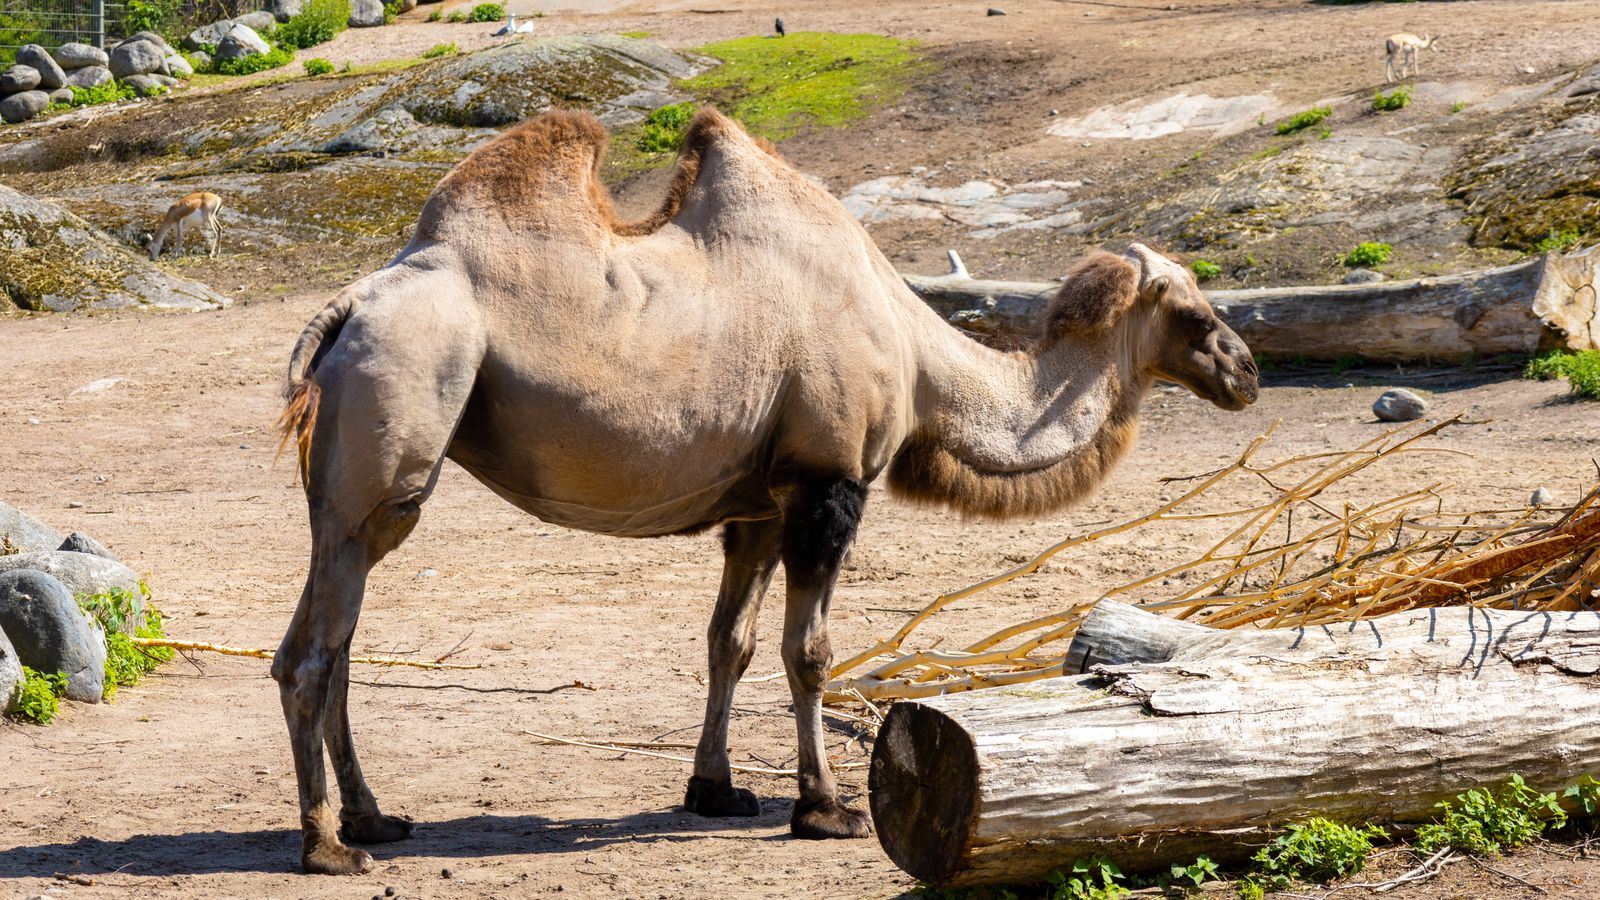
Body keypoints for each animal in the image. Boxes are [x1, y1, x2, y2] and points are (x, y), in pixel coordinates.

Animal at [273, 107, 1259, 875]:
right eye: (1193, 313)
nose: (1246, 371)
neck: (914, 350)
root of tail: (350, 305)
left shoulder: (754, 504)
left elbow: (730, 644)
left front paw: (714, 789)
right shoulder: (829, 480)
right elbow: (809, 650)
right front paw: (826, 808)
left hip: (344, 479)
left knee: (323, 639)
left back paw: (374, 819)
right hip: (400, 425)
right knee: (320, 649)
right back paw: (330, 846)